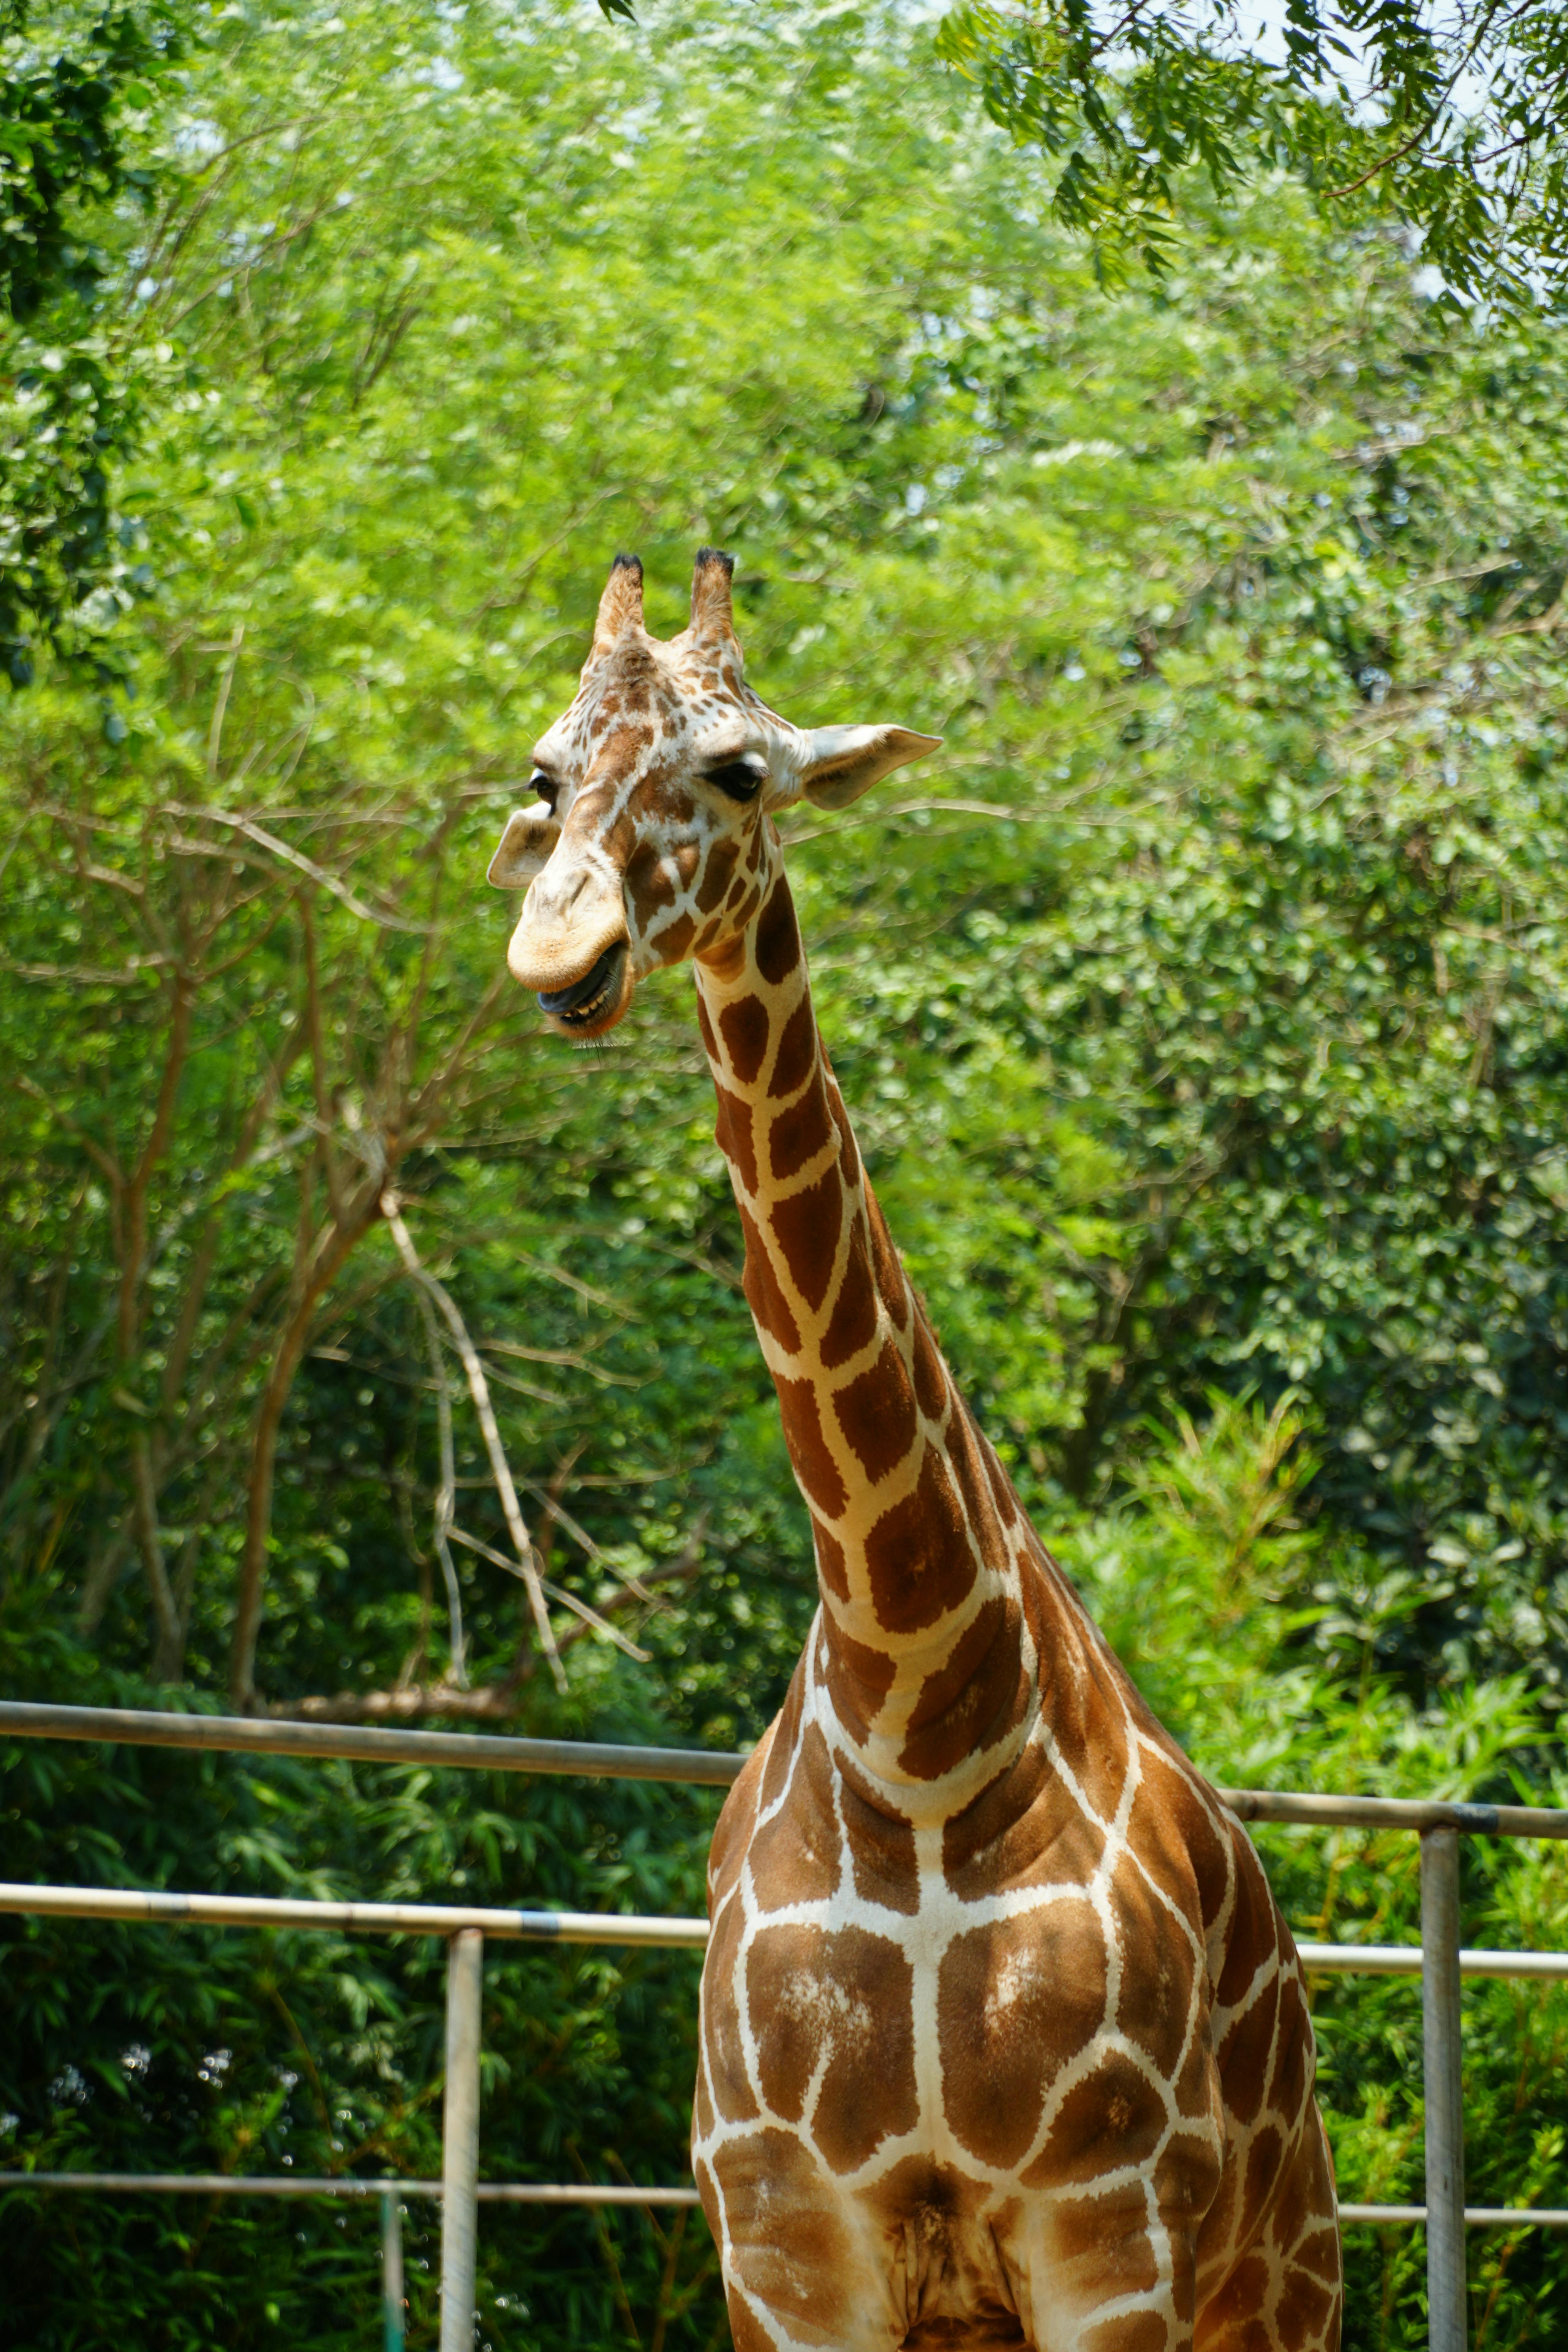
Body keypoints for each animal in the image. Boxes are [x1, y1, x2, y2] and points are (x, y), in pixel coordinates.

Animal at [489, 550, 1343, 2352]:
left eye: (744, 772)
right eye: (545, 770)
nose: (560, 948)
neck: (917, 1732)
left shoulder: (1109, 2231)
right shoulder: (784, 2238)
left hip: (1279, 2274)